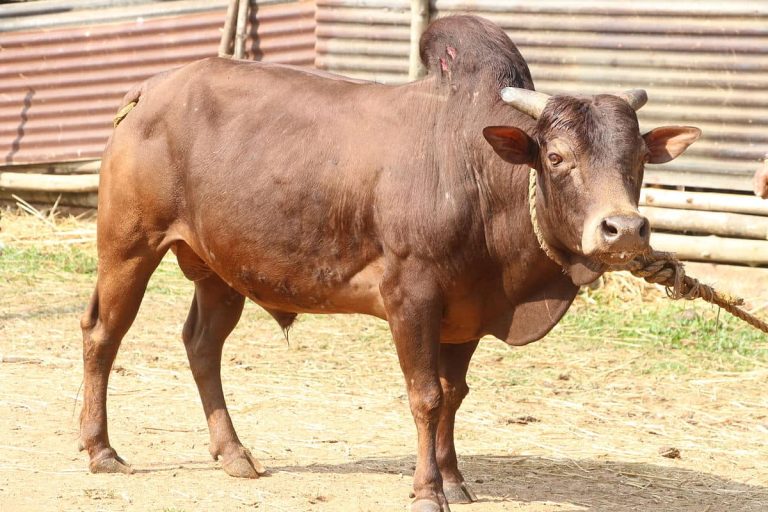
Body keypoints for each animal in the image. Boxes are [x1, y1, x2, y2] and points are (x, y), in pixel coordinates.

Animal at [78, 15, 700, 512]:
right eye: (555, 157)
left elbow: (454, 393)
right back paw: (101, 448)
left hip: (219, 268)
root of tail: (149, 90)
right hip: (128, 245)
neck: (478, 175)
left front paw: (455, 480)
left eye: (638, 158)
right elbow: (426, 396)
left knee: (202, 346)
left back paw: (233, 452)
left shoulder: (467, 312)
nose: (624, 229)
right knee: (103, 333)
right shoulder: (412, 296)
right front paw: (427, 490)